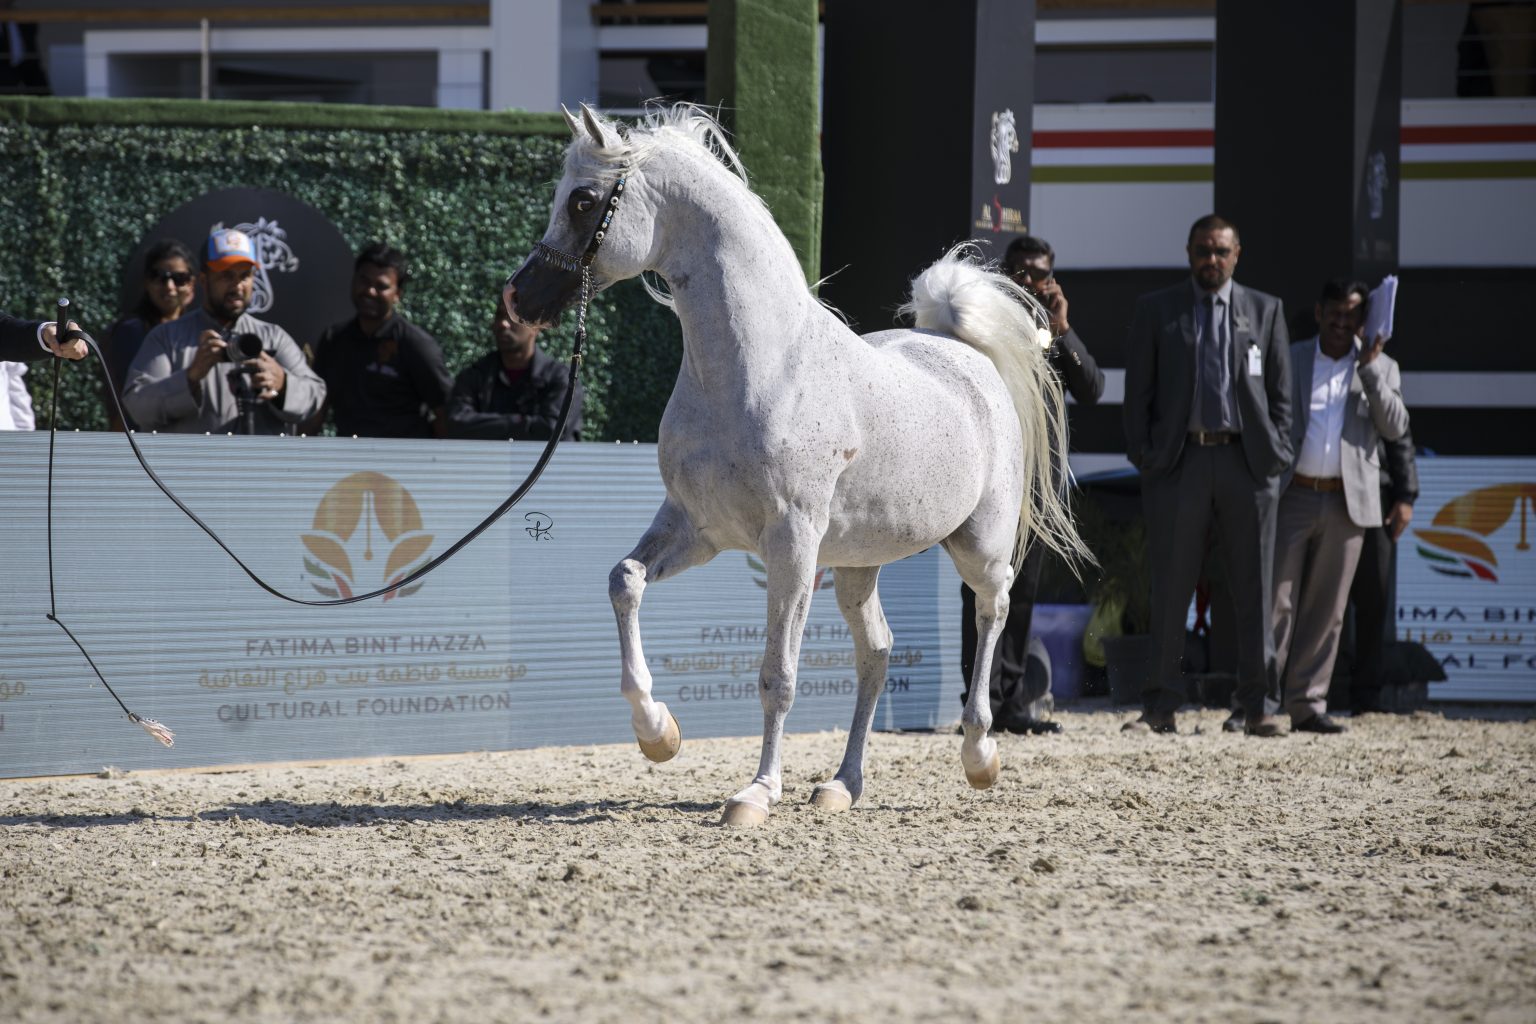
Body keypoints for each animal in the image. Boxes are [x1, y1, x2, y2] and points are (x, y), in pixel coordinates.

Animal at [506, 104, 1086, 827]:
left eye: (583, 201)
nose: (519, 298)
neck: (760, 368)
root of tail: (961, 352)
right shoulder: (699, 529)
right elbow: (625, 582)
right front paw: (658, 734)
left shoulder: (790, 543)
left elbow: (778, 675)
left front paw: (754, 793)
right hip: (859, 564)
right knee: (877, 653)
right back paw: (841, 785)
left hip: (977, 543)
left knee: (992, 610)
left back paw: (980, 755)